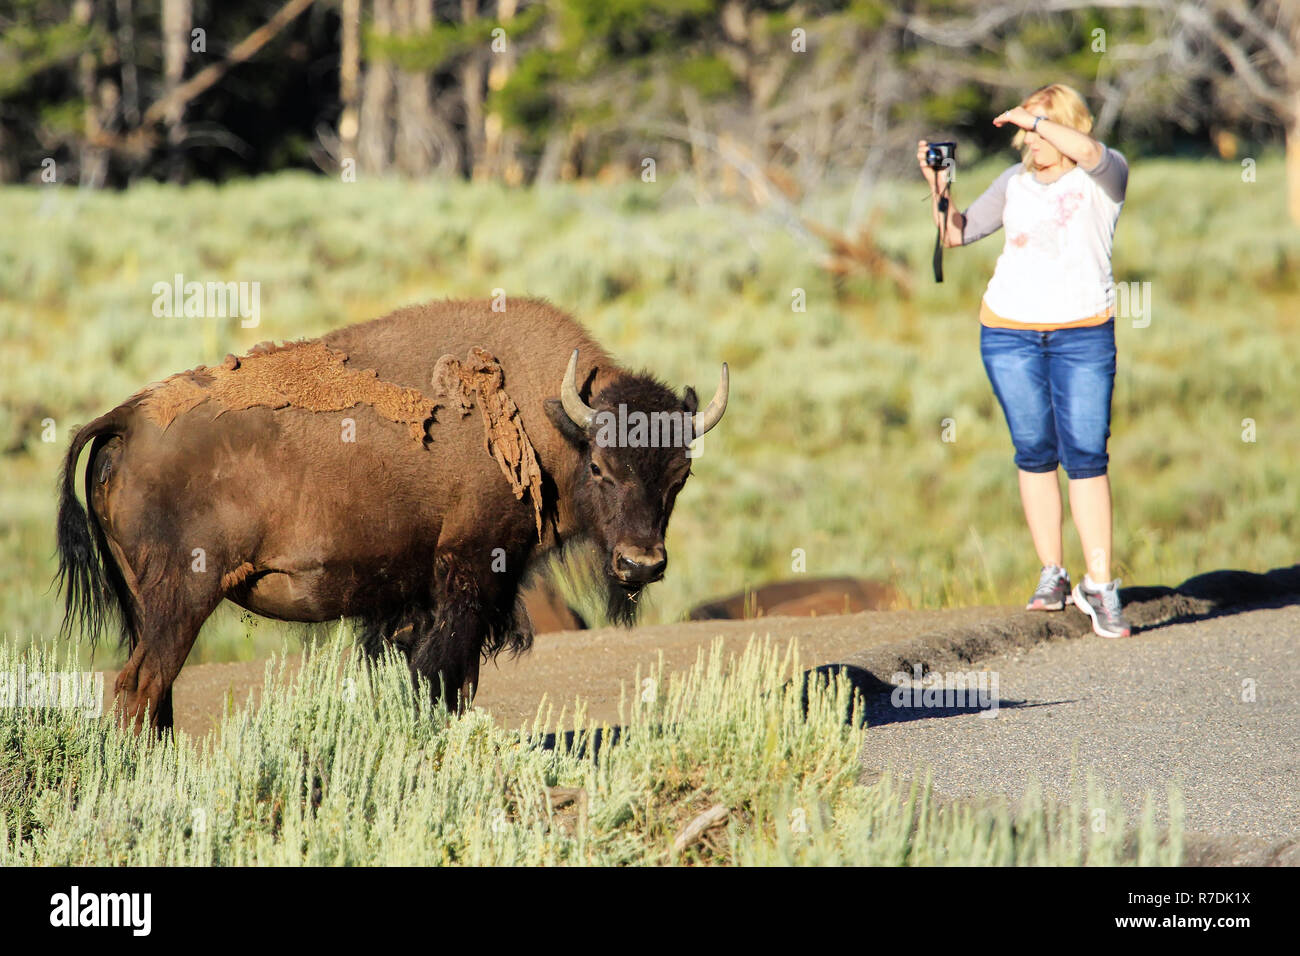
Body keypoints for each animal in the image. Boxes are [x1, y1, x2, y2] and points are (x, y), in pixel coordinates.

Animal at [57, 298, 727, 731]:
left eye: (680, 476)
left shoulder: (421, 600)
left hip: (145, 608)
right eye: (601, 468)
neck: (551, 420)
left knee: (153, 694)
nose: (641, 565)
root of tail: (126, 418)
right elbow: (446, 679)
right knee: (140, 688)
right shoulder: (469, 579)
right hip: (182, 600)